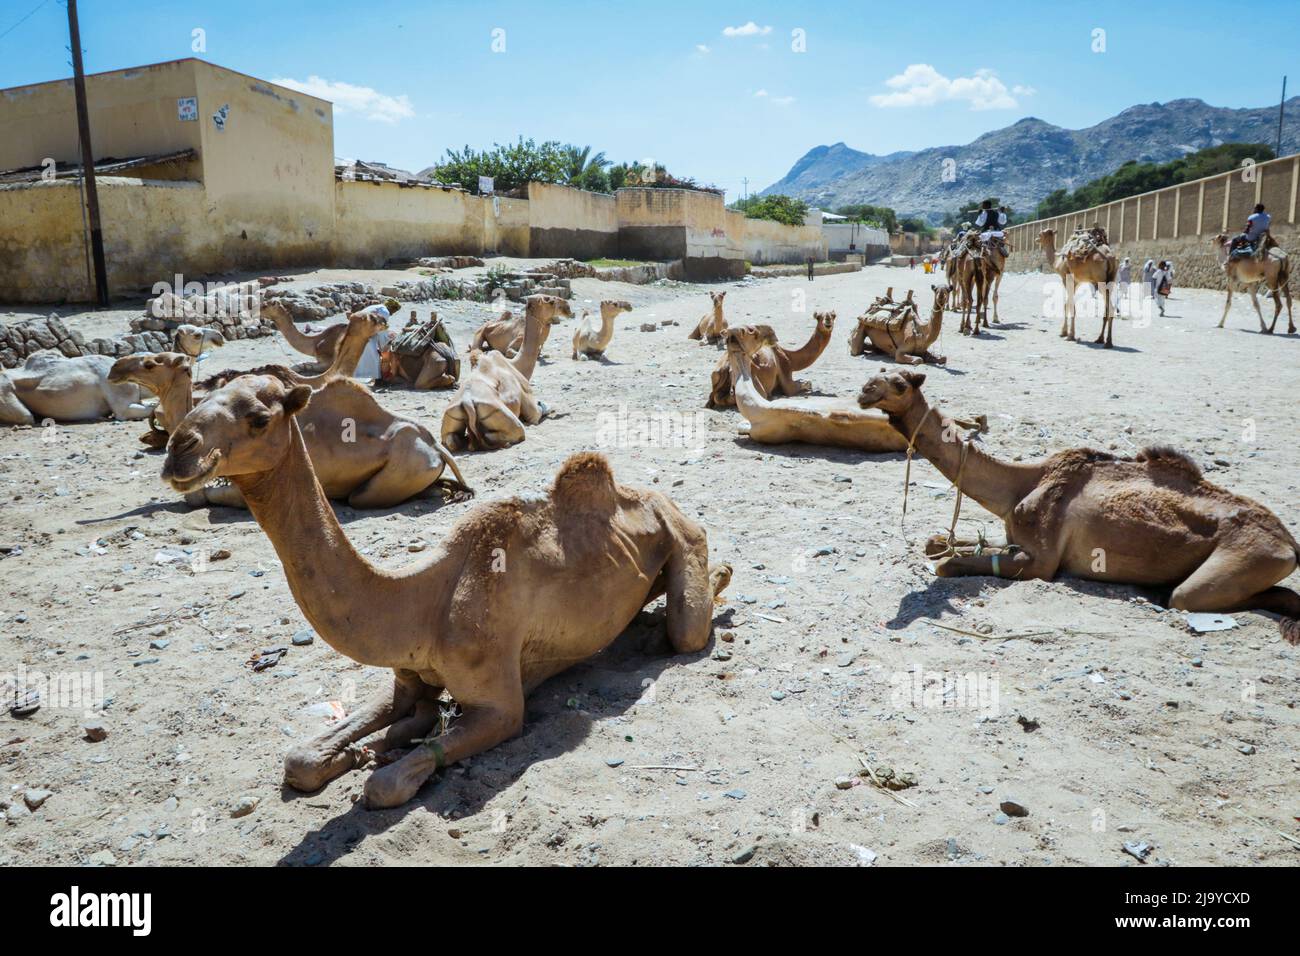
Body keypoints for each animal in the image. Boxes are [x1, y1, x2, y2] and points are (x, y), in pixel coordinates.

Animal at [160, 380, 732, 808]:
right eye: (203, 396)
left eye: (258, 418)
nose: (177, 449)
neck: (420, 600)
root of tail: (655, 495)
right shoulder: (406, 672)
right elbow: (305, 758)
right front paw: (362, 748)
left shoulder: (502, 707)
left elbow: (386, 784)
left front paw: (380, 757)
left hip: (682, 535)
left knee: (687, 626)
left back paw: (717, 578)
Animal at [441, 298, 551, 451]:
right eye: (550, 301)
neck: (515, 365)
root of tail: (467, 402)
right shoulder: (531, 408)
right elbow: (542, 409)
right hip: (508, 420)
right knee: (509, 433)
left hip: (450, 418)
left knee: (452, 439)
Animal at [707, 312, 835, 409]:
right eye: (819, 317)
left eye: (833, 315)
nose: (828, 320)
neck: (789, 357)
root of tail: (725, 368)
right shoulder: (785, 370)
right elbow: (806, 383)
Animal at [857, 369, 1300, 645]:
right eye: (878, 374)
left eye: (898, 383)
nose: (864, 390)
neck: (1022, 483)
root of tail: (1290, 544)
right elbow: (939, 543)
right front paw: (942, 544)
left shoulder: (1041, 561)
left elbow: (948, 565)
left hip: (1247, 557)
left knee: (1193, 596)